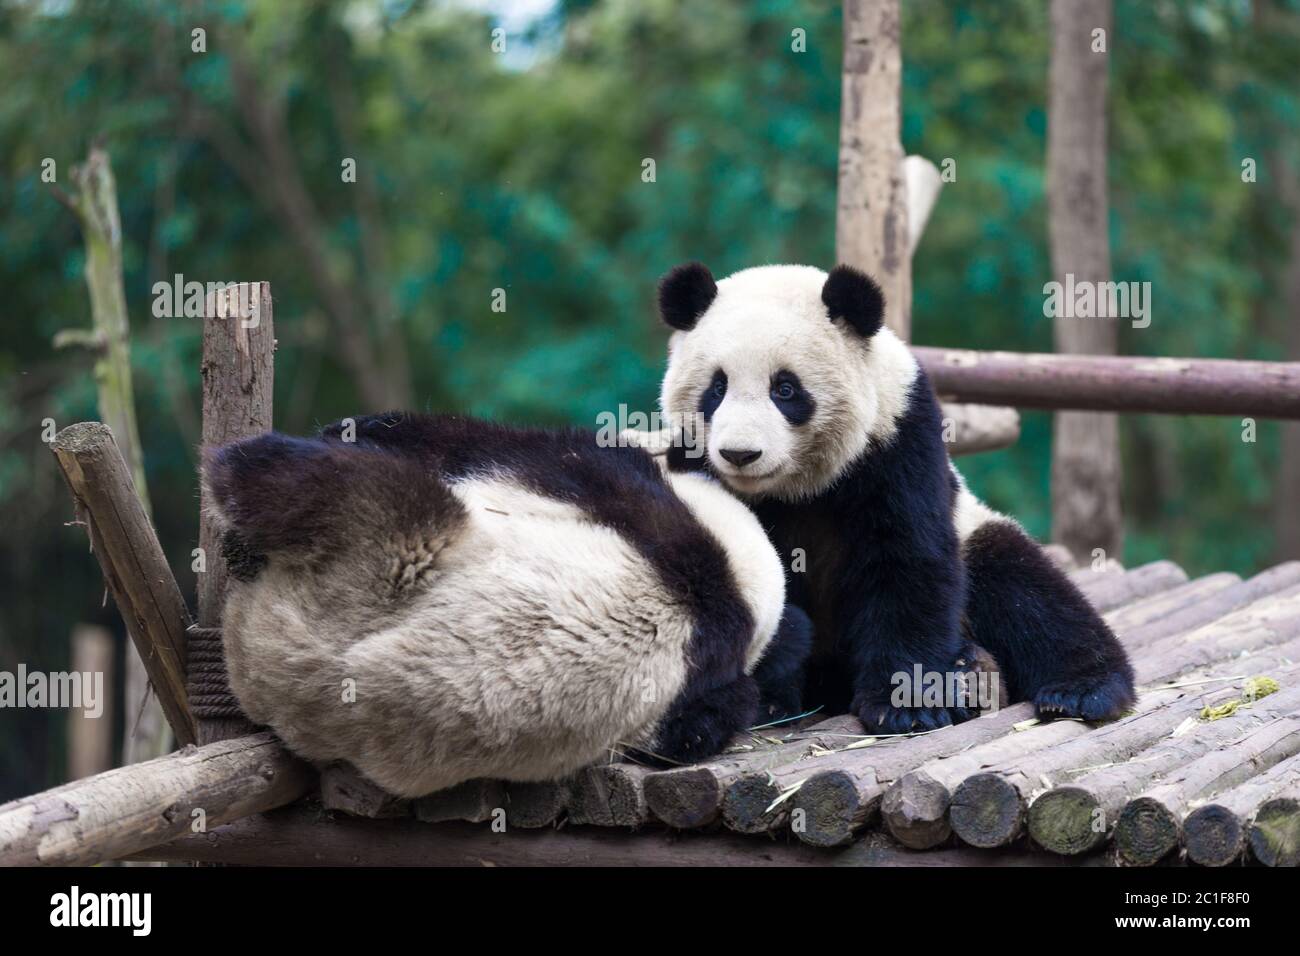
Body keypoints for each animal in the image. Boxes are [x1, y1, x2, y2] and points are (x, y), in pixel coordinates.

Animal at [202, 414, 805, 797]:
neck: (732, 578)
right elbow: (719, 713)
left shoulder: (593, 478)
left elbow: (476, 444)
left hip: (386, 551)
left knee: (308, 480)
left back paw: (240, 510)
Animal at [652, 261, 1136, 734]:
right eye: (716, 388)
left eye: (785, 389)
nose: (739, 454)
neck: (794, 486)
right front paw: (770, 694)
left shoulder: (897, 440)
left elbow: (906, 559)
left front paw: (906, 703)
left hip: (976, 530)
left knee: (1027, 593)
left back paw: (1074, 688)